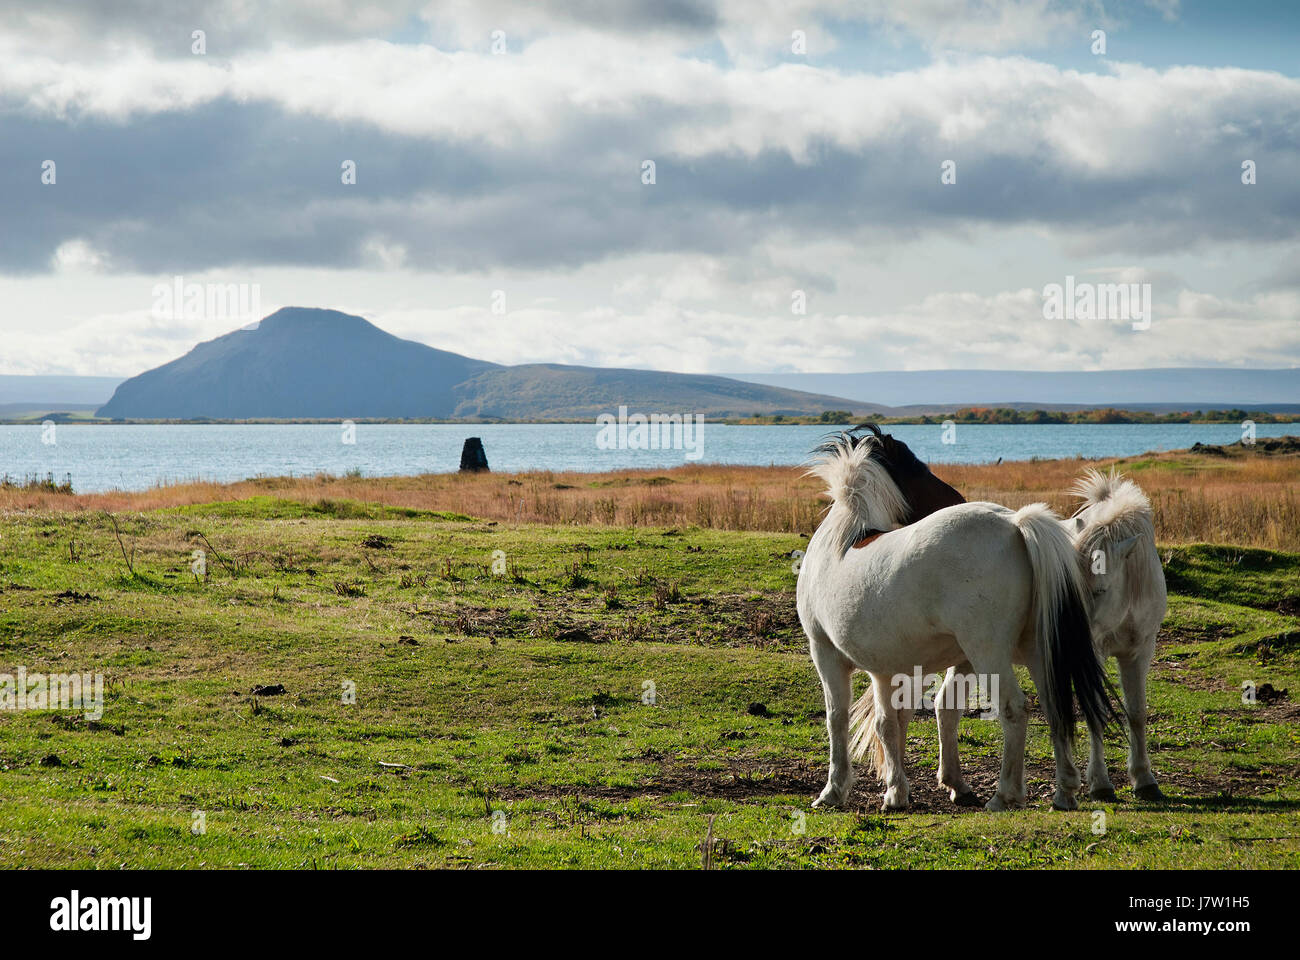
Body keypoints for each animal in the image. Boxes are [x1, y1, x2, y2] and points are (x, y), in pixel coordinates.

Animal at [797, 426, 1117, 812]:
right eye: (917, 468)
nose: (955, 497)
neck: (842, 541)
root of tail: (1015, 522)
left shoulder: (825, 652)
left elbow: (841, 718)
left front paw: (835, 790)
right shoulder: (892, 668)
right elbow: (897, 720)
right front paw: (906, 790)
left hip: (988, 654)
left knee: (1014, 708)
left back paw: (1004, 794)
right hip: (1037, 649)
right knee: (1055, 705)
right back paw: (1064, 792)